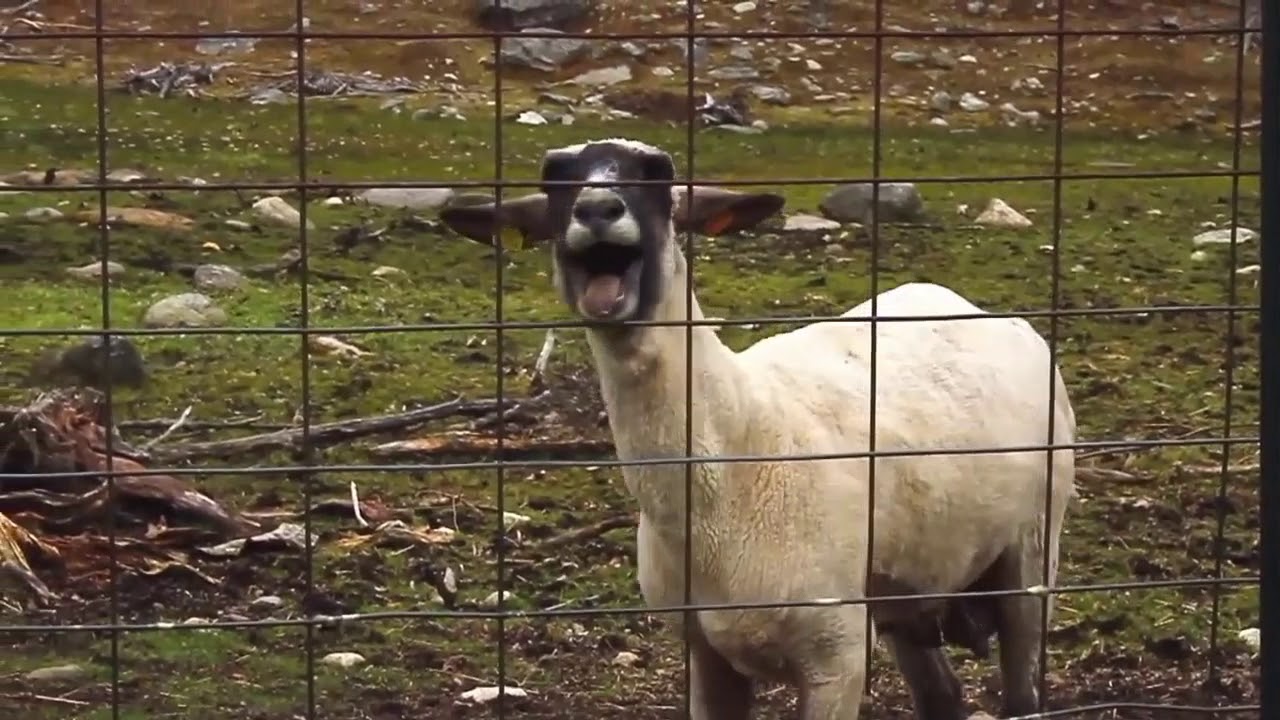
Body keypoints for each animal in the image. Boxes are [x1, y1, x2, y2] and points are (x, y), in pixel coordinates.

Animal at [439, 137, 1076, 720]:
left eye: (658, 174)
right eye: (555, 179)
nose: (597, 209)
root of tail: (970, 304)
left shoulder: (836, 655)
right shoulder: (704, 652)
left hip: (1032, 548)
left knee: (1022, 689)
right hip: (909, 585)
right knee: (942, 695)